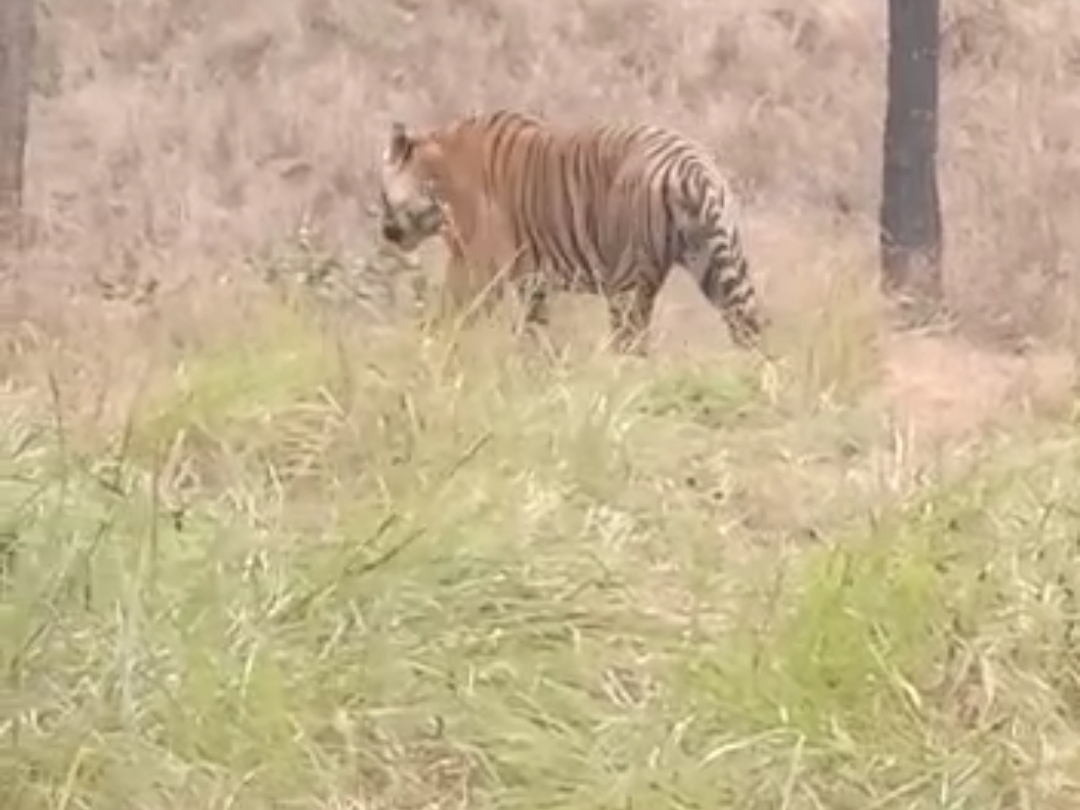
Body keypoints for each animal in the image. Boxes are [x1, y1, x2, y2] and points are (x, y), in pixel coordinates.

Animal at [377, 109, 766, 354]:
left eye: (381, 195)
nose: (385, 232)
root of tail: (691, 167)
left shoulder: (477, 266)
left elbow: (451, 314)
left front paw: (433, 347)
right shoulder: (529, 279)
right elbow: (535, 326)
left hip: (629, 282)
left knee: (631, 345)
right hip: (717, 265)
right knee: (750, 327)